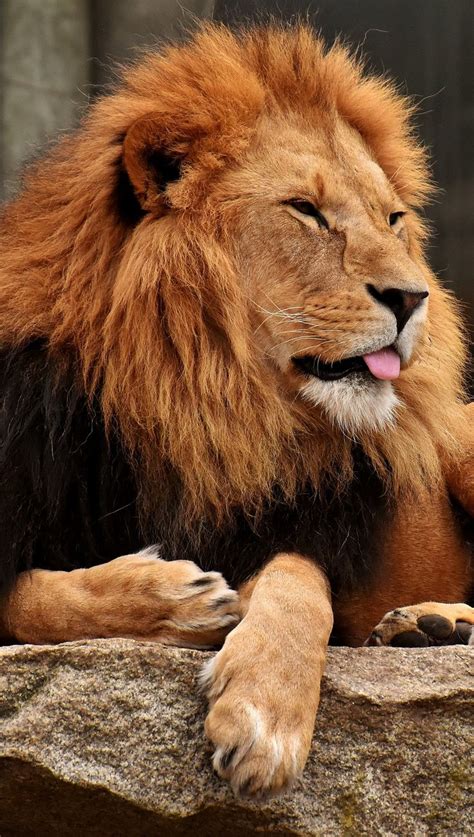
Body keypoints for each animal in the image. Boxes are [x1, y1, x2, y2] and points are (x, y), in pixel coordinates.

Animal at [0, 24, 473, 797]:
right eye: (306, 210)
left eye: (393, 218)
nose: (413, 298)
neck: (193, 398)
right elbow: (33, 598)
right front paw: (176, 601)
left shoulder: (304, 523)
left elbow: (297, 578)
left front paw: (263, 714)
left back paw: (436, 624)